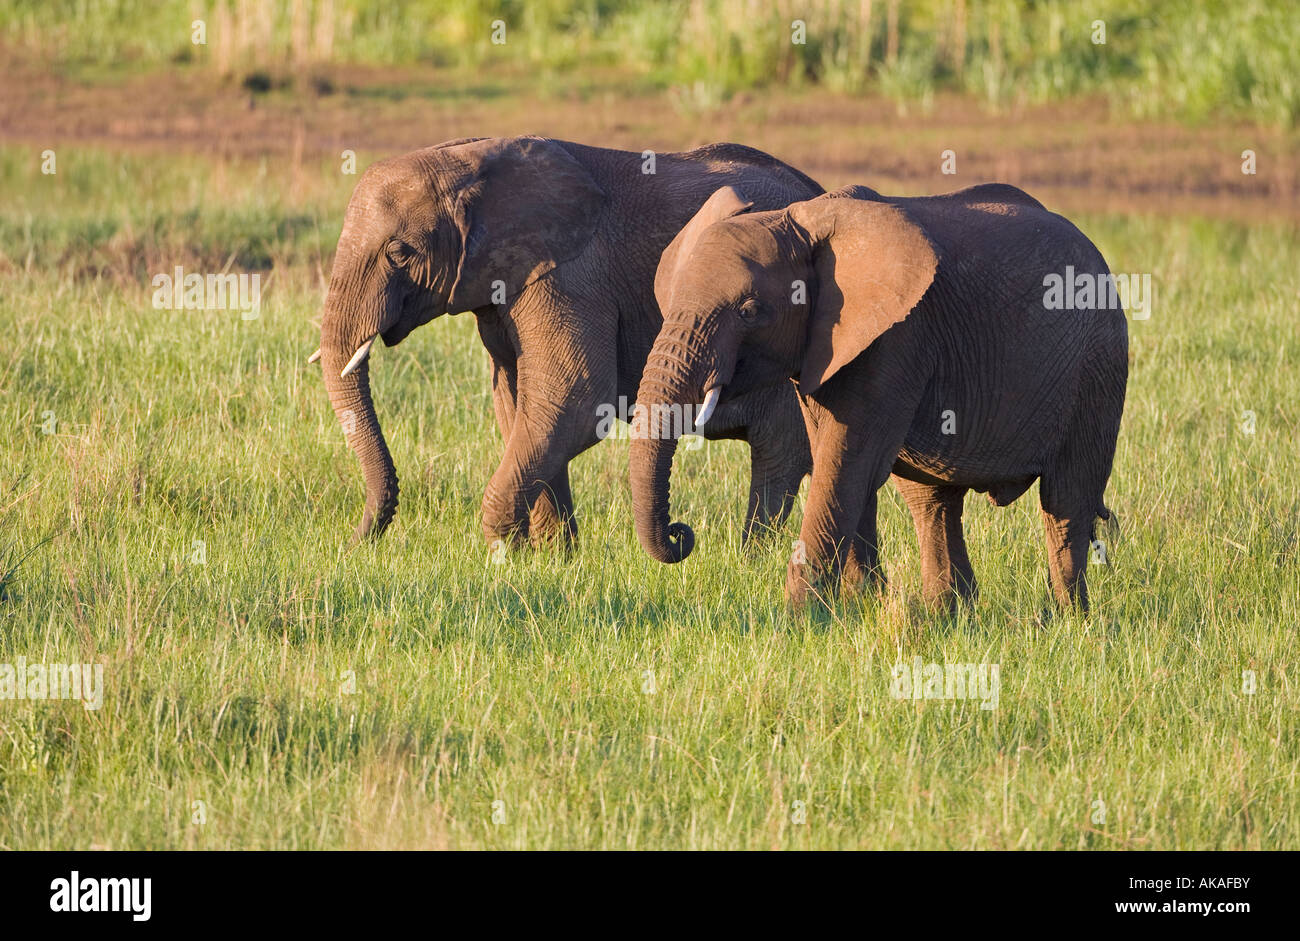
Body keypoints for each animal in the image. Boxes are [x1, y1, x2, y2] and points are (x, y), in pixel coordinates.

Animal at [311, 136, 820, 549]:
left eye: (399, 253)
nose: (354, 543)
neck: (468, 160)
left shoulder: (572, 276)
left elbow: (574, 397)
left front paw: (504, 554)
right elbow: (522, 404)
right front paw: (550, 559)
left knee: (779, 453)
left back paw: (752, 558)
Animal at [630, 183, 1128, 611]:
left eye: (750, 311)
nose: (681, 534)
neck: (801, 222)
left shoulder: (896, 339)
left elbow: (846, 465)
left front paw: (800, 621)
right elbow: (843, 465)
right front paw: (861, 607)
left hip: (1098, 366)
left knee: (1066, 500)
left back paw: (1067, 621)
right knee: (932, 502)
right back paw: (951, 616)